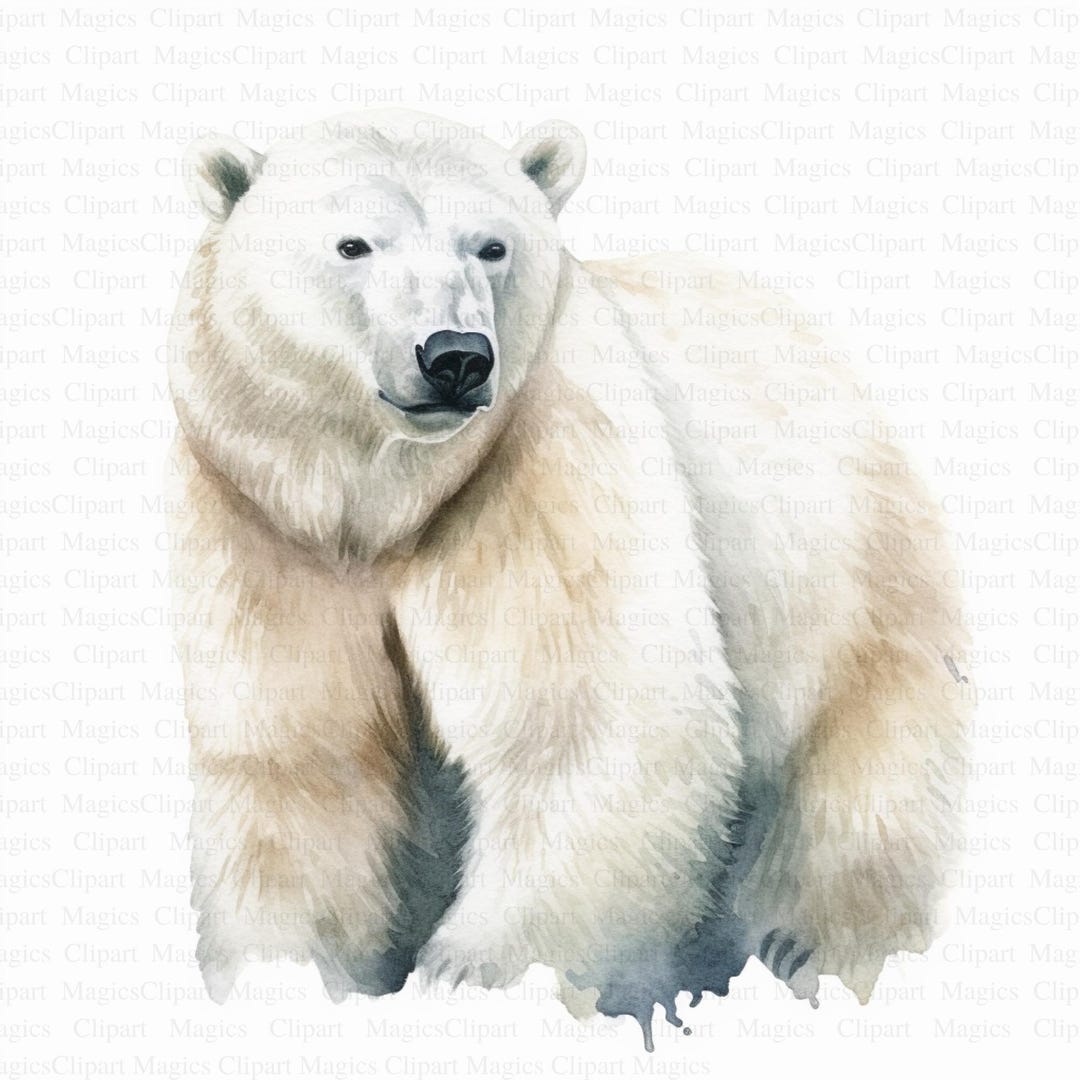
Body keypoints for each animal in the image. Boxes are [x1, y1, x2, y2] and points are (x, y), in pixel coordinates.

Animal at [166, 108, 972, 1048]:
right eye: (353, 244)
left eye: (492, 245)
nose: (456, 357)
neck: (380, 501)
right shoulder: (260, 515)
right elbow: (299, 757)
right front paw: (290, 979)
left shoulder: (542, 453)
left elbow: (588, 725)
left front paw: (477, 981)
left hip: (854, 589)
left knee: (864, 797)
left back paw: (811, 950)